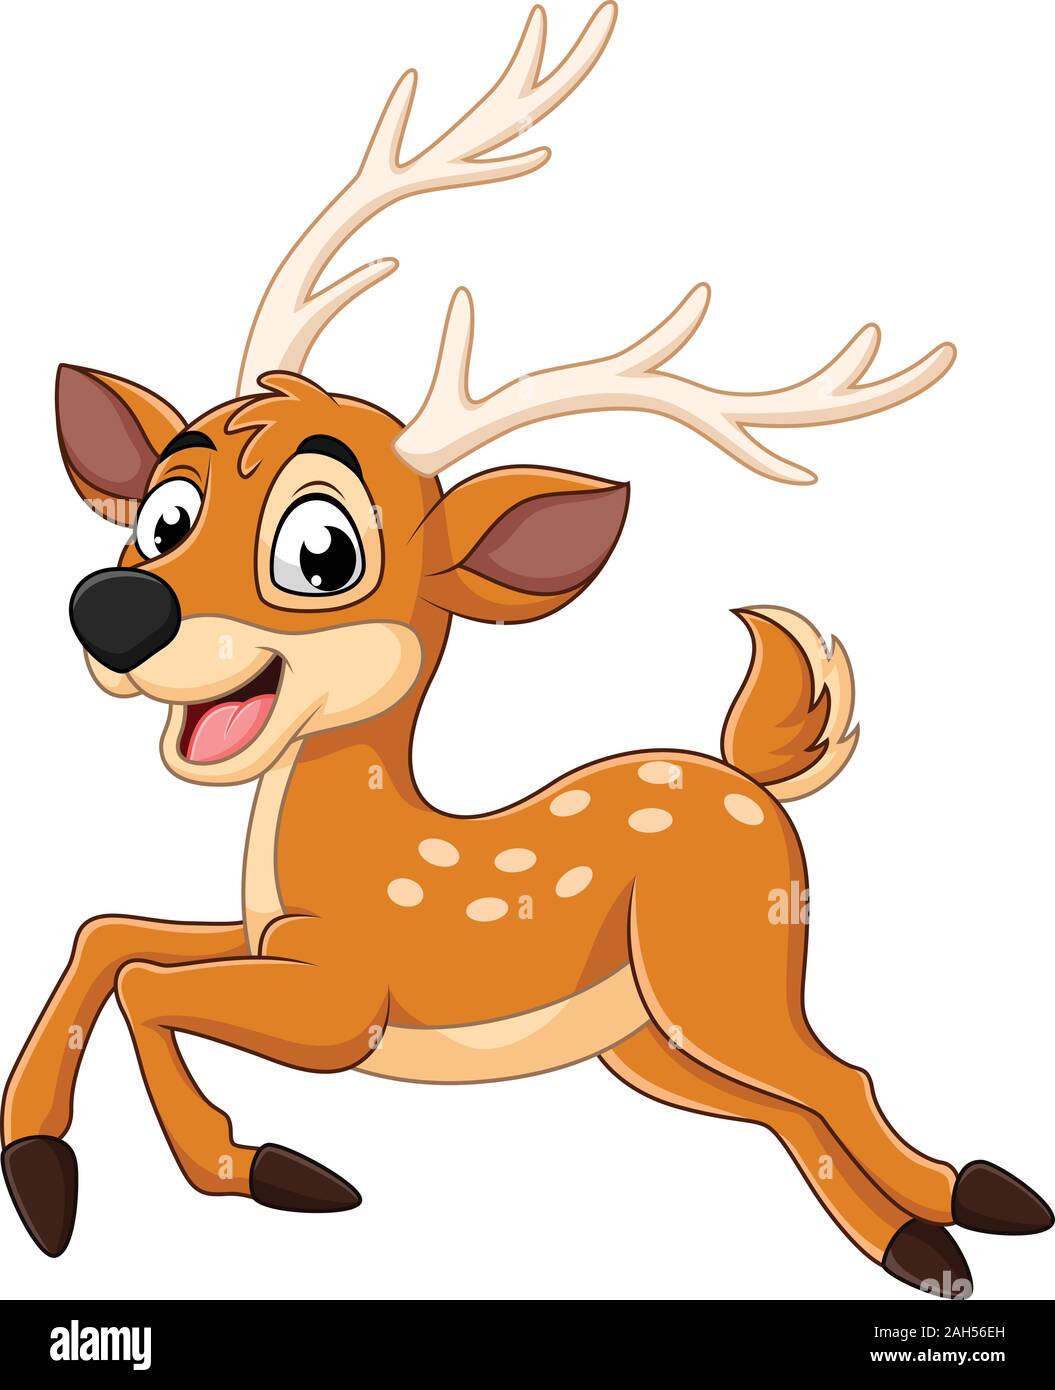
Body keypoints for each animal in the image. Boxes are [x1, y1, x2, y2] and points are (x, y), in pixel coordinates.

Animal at [4, 3, 1049, 1297]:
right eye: (163, 513)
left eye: (321, 550)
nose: (113, 609)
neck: (344, 866)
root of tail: (745, 776)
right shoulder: (261, 943)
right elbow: (106, 937)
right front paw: (43, 1176)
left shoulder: (346, 1004)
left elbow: (149, 984)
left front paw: (268, 1169)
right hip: (645, 1041)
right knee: (786, 1108)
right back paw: (926, 1232)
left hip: (722, 977)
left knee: (830, 1075)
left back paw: (960, 1214)